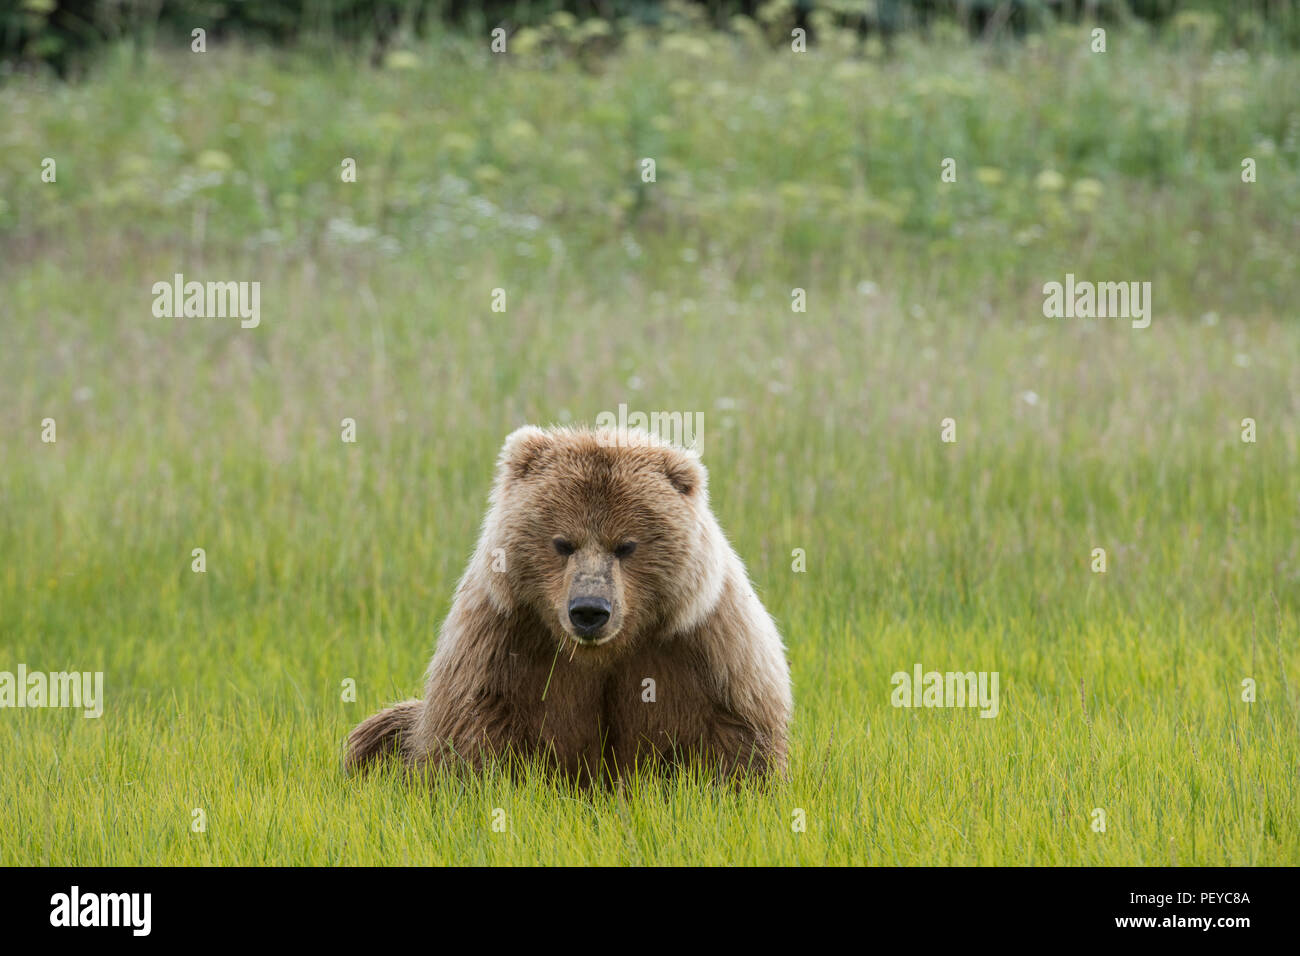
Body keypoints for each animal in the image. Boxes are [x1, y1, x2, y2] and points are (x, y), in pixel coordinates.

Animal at [345, 424, 792, 785]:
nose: (590, 610)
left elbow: (733, 743)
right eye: (562, 542)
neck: (605, 652)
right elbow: (473, 738)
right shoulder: (500, 644)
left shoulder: (706, 650)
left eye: (626, 545)